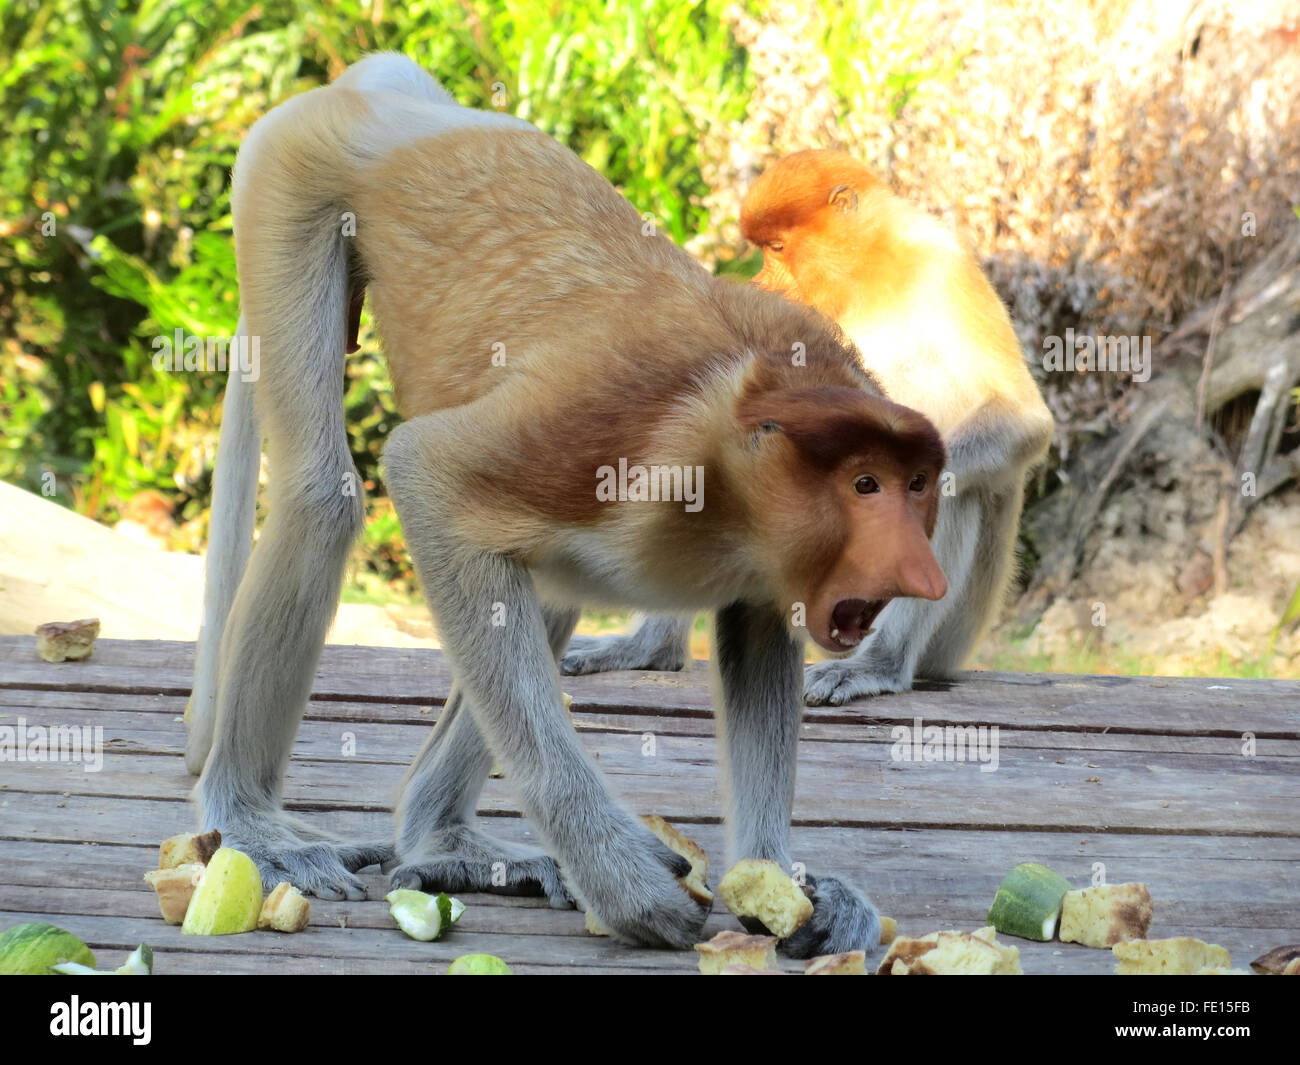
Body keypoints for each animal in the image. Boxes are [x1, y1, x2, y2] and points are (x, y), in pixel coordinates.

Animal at [184, 56, 948, 955]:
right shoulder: (608, 423)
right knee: (320, 502)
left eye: (917, 483)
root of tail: (393, 102)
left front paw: (788, 887)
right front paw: (627, 883)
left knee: (545, 586)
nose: (924, 573)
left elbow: (758, 639)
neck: (734, 447)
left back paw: (444, 839)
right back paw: (253, 825)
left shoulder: (767, 561)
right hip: (292, 174)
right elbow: (425, 469)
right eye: (865, 484)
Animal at [563, 149, 1054, 707]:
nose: (762, 284)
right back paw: (647, 649)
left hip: (949, 632)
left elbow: (1019, 417)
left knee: (954, 493)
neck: (868, 278)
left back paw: (875, 665)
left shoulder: (943, 268)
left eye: (777, 247)